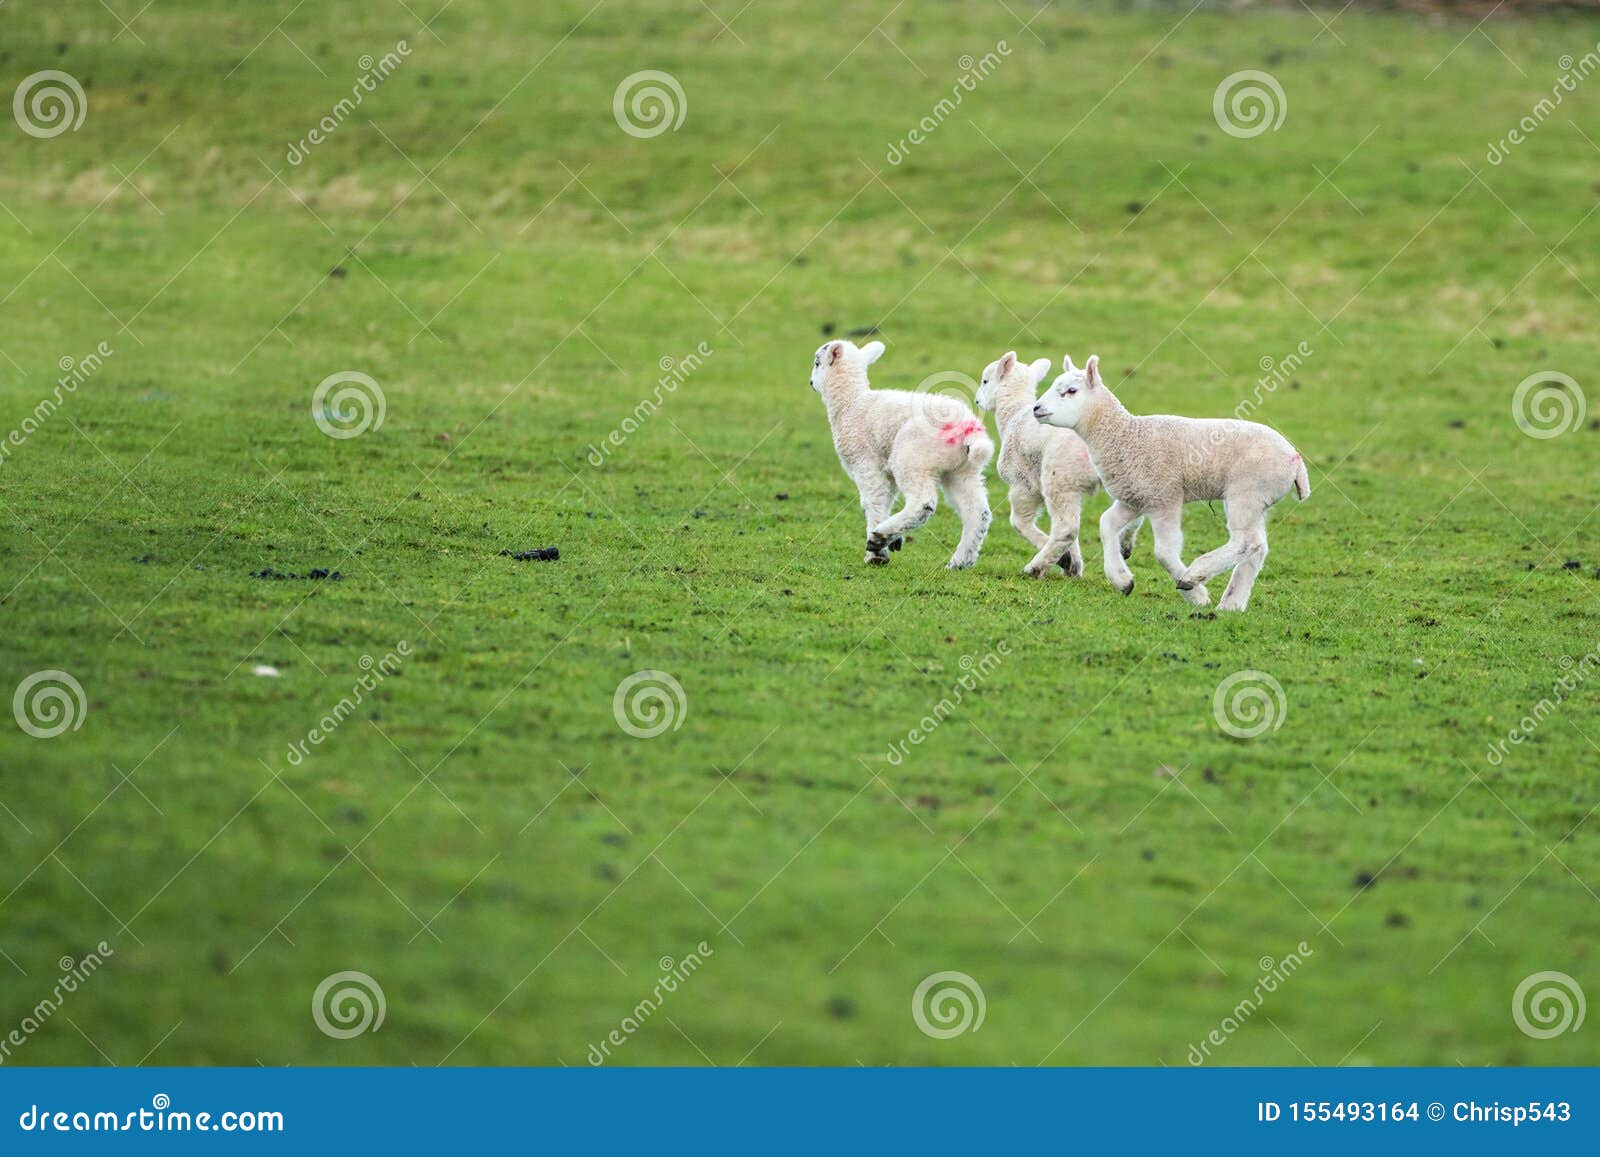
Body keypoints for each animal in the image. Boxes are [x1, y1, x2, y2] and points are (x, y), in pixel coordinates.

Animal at [809, 338, 993, 569]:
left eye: (817, 363)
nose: (811, 383)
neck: (851, 403)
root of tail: (968, 426)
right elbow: (885, 501)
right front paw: (893, 542)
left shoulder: (865, 462)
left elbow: (873, 502)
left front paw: (877, 555)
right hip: (962, 469)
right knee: (978, 512)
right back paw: (960, 562)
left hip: (911, 456)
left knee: (923, 502)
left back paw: (880, 537)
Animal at [975, 350, 1140, 578]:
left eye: (985, 381)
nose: (977, 401)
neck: (1013, 414)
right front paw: (1073, 564)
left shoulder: (1023, 483)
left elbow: (1019, 522)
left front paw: (1064, 560)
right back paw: (1125, 545)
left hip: (1060, 477)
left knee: (1066, 529)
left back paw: (1036, 567)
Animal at [1032, 354, 1309, 612]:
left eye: (1071, 391)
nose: (1036, 408)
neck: (1124, 436)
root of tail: (1296, 462)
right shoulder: (1135, 497)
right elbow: (1106, 524)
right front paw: (1122, 580)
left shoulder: (1164, 497)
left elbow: (1164, 552)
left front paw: (1196, 595)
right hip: (1257, 500)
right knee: (1258, 546)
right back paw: (1231, 604)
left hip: (1247, 491)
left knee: (1246, 541)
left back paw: (1195, 575)